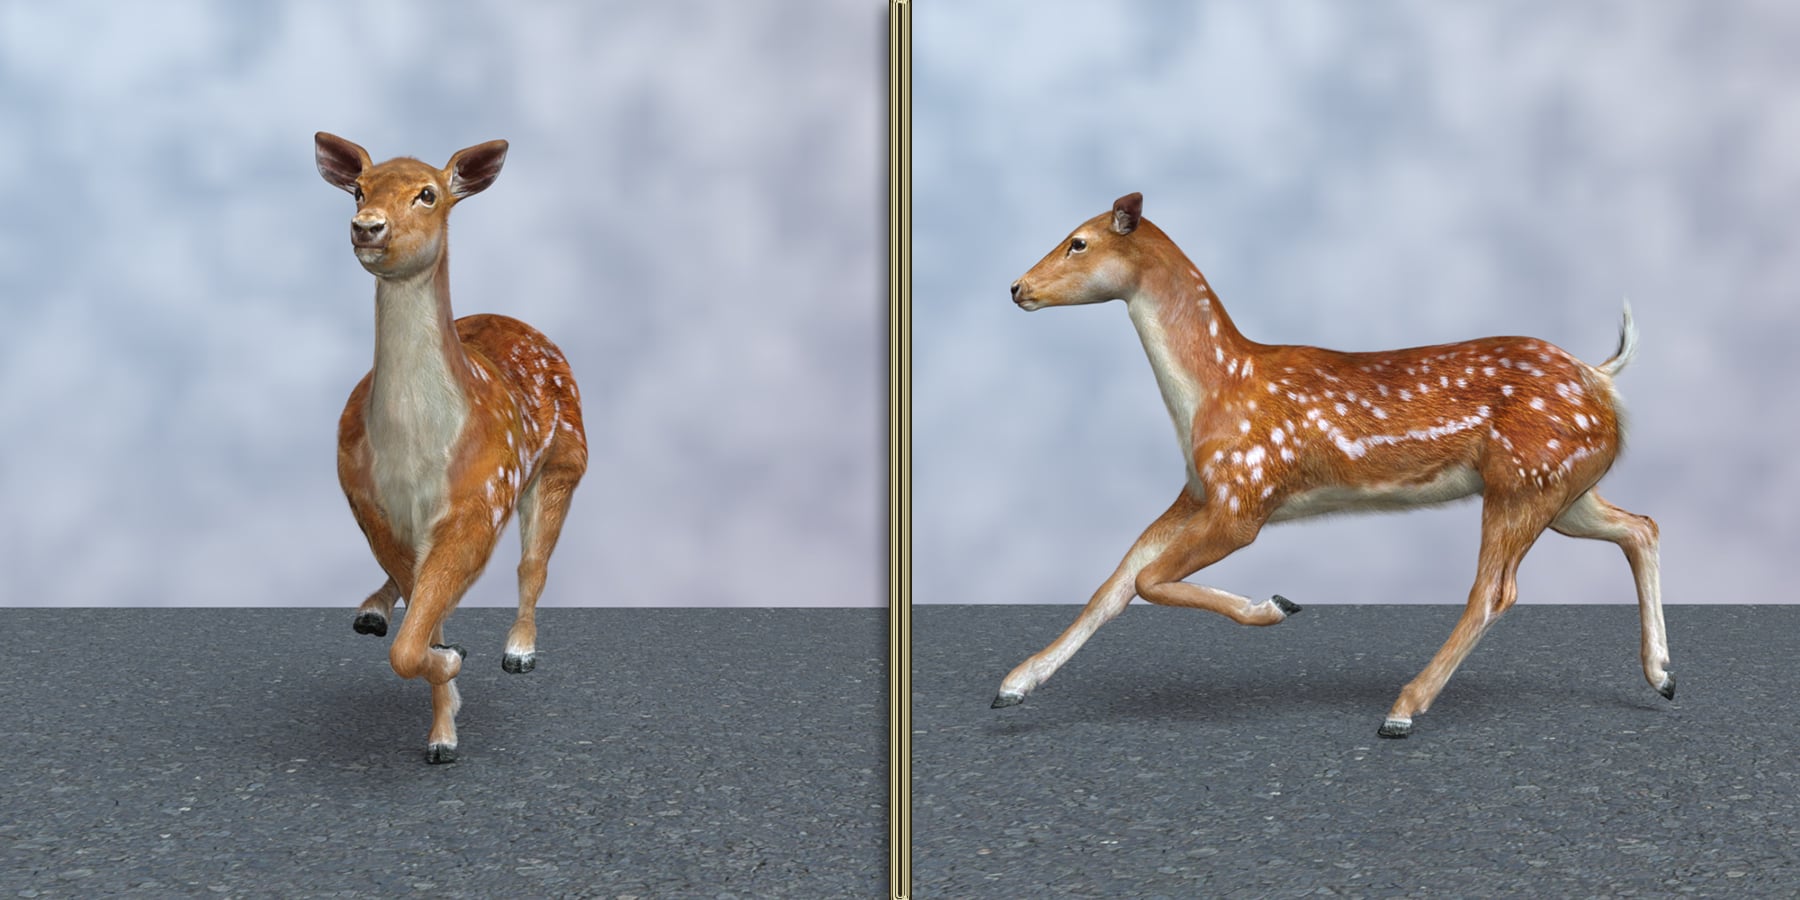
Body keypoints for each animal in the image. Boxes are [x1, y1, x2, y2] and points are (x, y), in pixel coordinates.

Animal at [314, 132, 588, 763]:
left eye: (427, 194)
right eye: (358, 188)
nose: (366, 227)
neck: (416, 454)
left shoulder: (477, 503)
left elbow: (418, 635)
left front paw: (451, 691)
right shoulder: (372, 506)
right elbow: (420, 623)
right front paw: (444, 721)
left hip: (565, 460)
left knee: (533, 563)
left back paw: (519, 648)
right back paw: (371, 611)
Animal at [993, 192, 1671, 739]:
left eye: (1079, 241)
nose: (1017, 287)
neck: (1214, 390)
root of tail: (1600, 378)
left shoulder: (1245, 494)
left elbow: (1145, 580)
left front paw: (1274, 605)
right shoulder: (1197, 491)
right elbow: (1112, 585)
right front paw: (1014, 684)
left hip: (1523, 478)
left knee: (1495, 590)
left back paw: (1402, 709)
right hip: (1564, 486)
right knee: (1640, 526)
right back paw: (1662, 674)